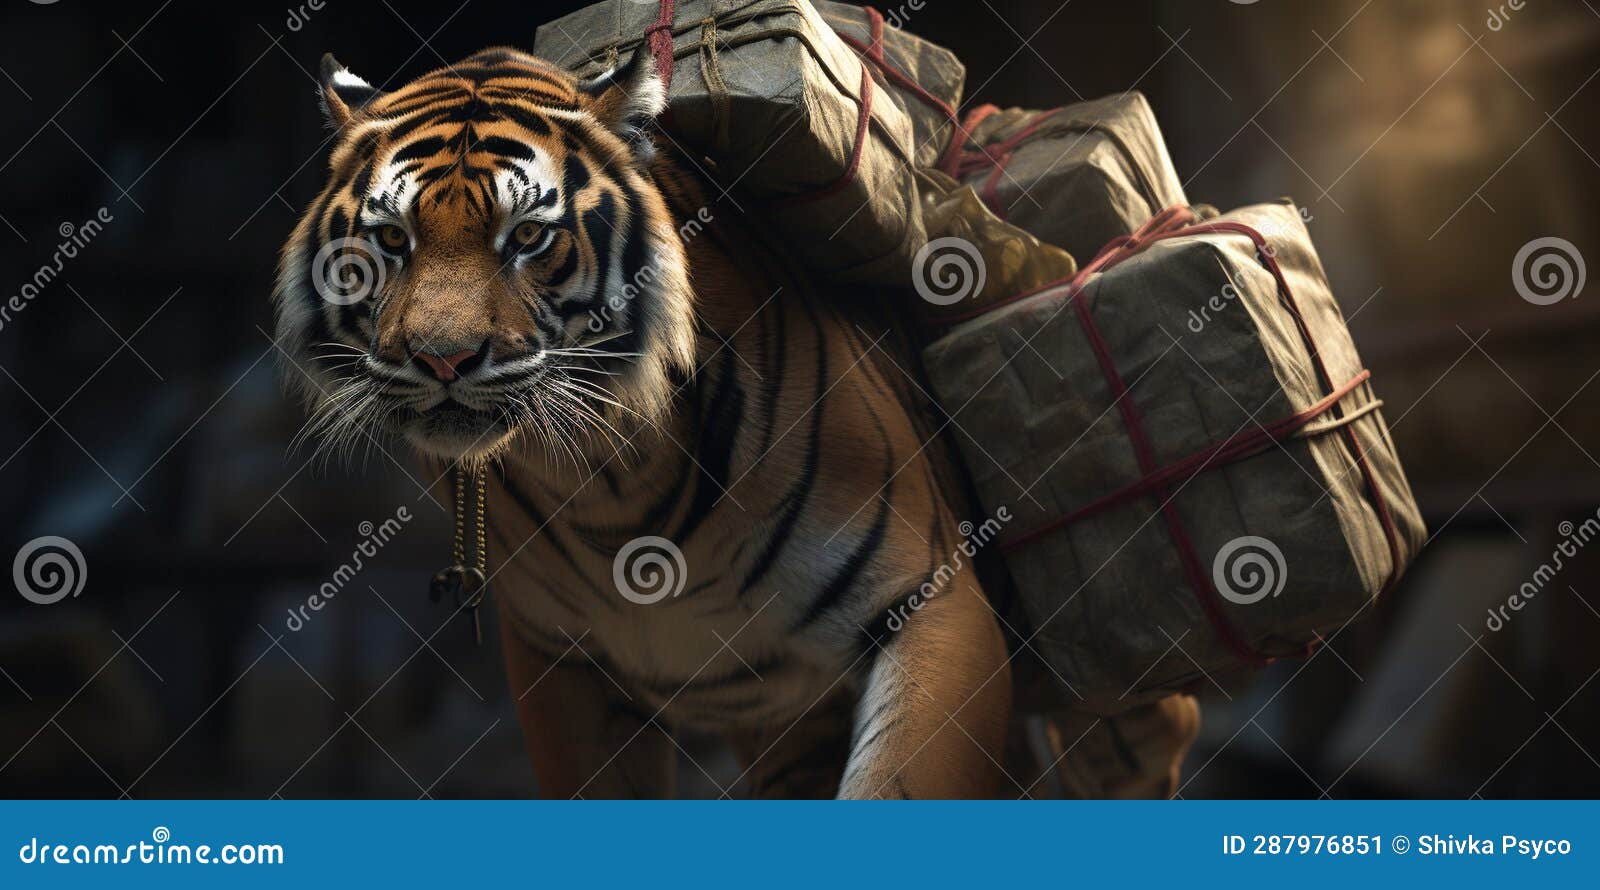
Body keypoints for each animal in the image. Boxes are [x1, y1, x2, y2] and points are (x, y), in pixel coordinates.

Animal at [272, 43, 1018, 799]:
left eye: (528, 236)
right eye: (394, 238)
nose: (441, 359)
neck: (607, 483)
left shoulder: (931, 599)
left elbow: (899, 780)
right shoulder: (559, 660)